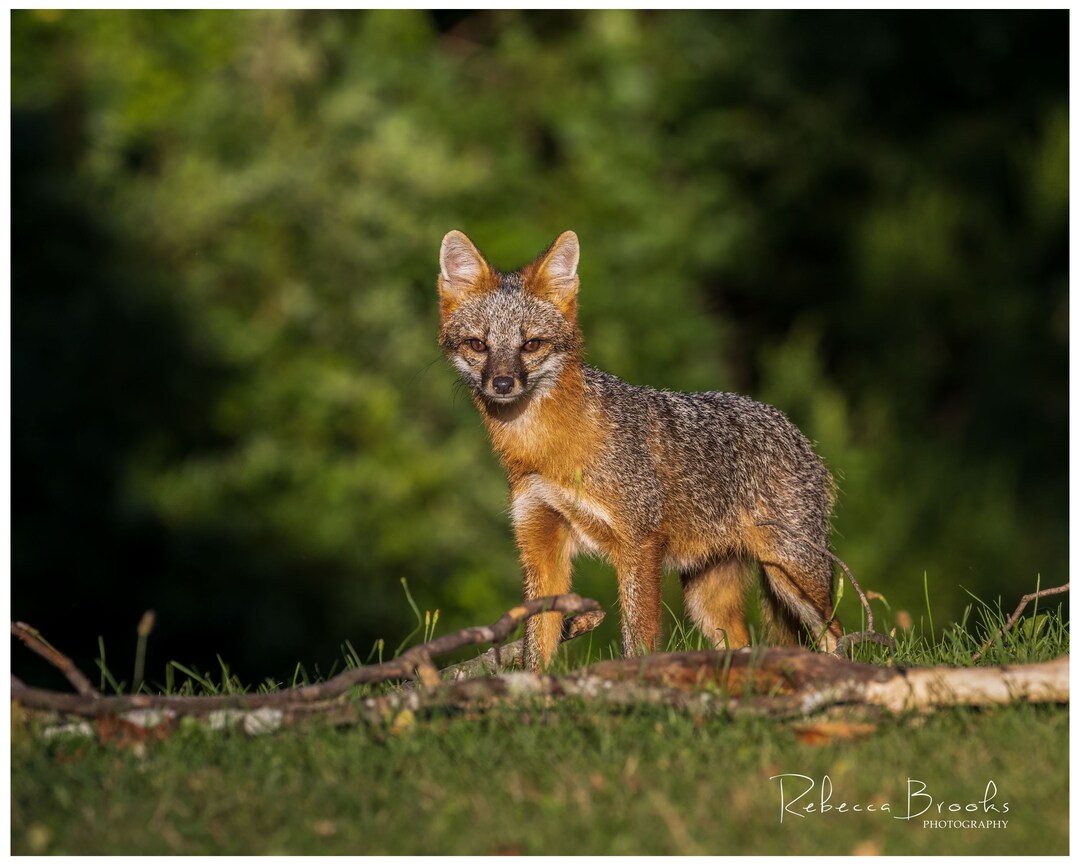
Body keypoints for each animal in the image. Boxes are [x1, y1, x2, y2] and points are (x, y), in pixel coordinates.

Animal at [437, 229, 843, 669]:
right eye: (477, 344)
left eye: (532, 344)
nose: (502, 383)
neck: (546, 452)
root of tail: (794, 429)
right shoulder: (540, 543)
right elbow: (536, 642)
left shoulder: (639, 542)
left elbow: (639, 637)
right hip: (707, 603)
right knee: (743, 643)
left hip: (794, 575)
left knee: (836, 634)